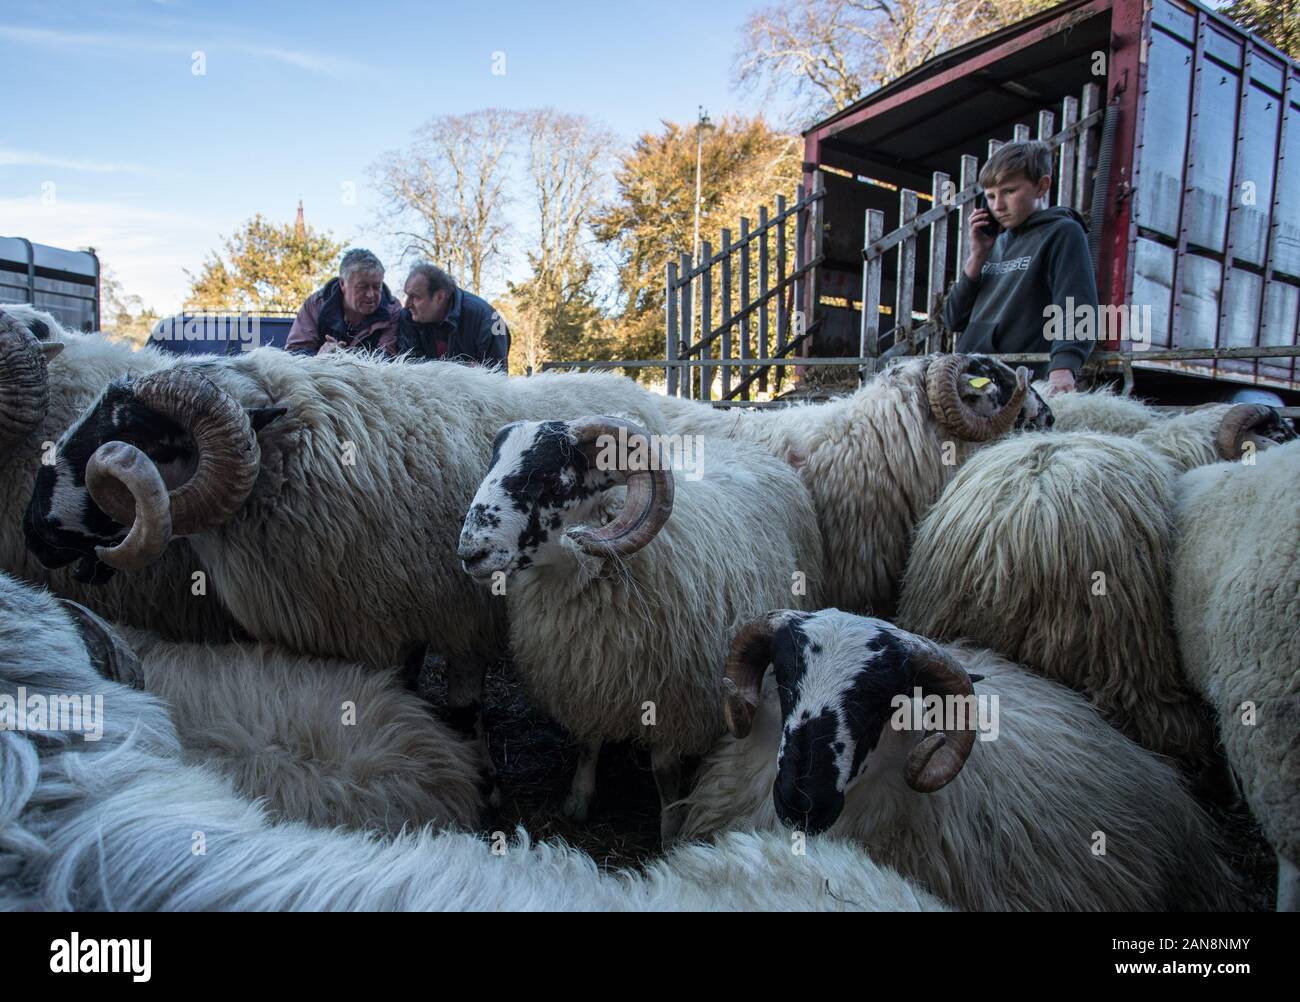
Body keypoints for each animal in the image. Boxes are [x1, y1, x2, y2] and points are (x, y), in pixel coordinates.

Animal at [457, 415, 824, 838]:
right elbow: (588, 741)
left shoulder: (674, 698)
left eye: (557, 485)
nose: (470, 553)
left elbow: (664, 770)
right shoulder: (588, 679)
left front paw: (670, 828)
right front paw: (578, 800)